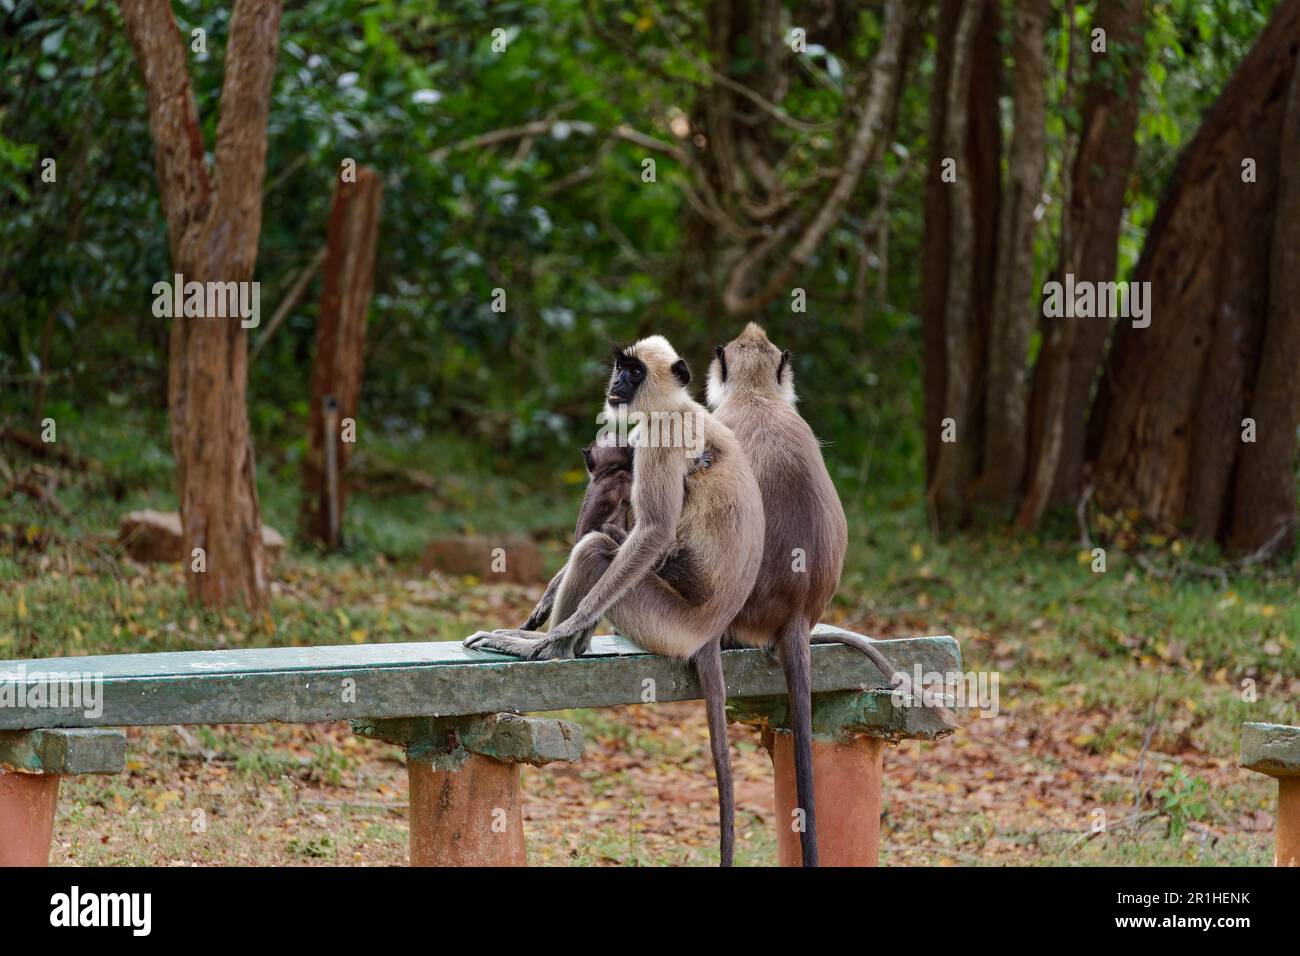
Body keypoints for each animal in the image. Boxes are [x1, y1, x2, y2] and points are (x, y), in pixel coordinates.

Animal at [466, 335, 763, 866]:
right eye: (620, 367)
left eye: (635, 371)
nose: (618, 383)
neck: (677, 406)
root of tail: (710, 632)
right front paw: (543, 611)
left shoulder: (659, 440)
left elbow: (649, 533)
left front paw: (556, 631)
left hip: (663, 621)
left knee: (599, 549)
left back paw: (554, 647)